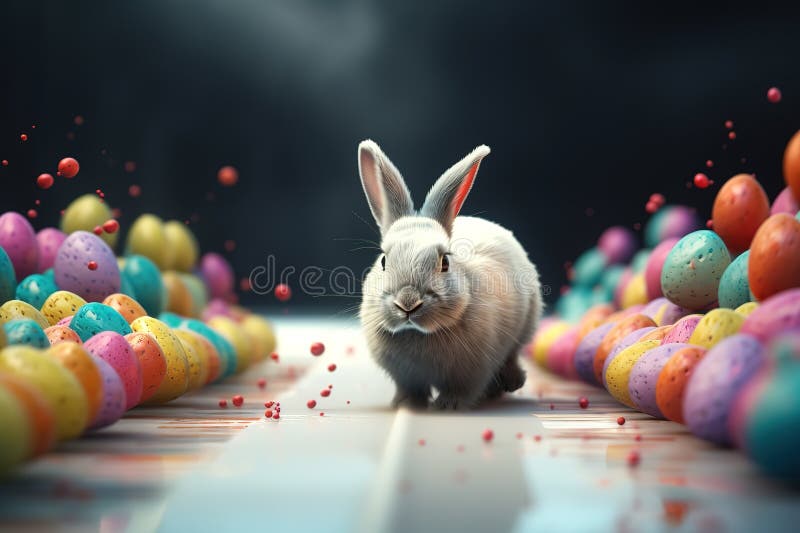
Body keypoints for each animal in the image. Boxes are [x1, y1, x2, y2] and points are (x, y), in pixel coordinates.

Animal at [358, 140, 542, 410]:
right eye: (383, 260)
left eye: (444, 262)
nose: (407, 303)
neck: (418, 333)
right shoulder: (405, 377)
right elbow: (410, 389)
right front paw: (405, 405)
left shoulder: (473, 371)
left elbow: (463, 389)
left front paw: (448, 406)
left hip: (527, 322)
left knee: (512, 356)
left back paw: (511, 383)